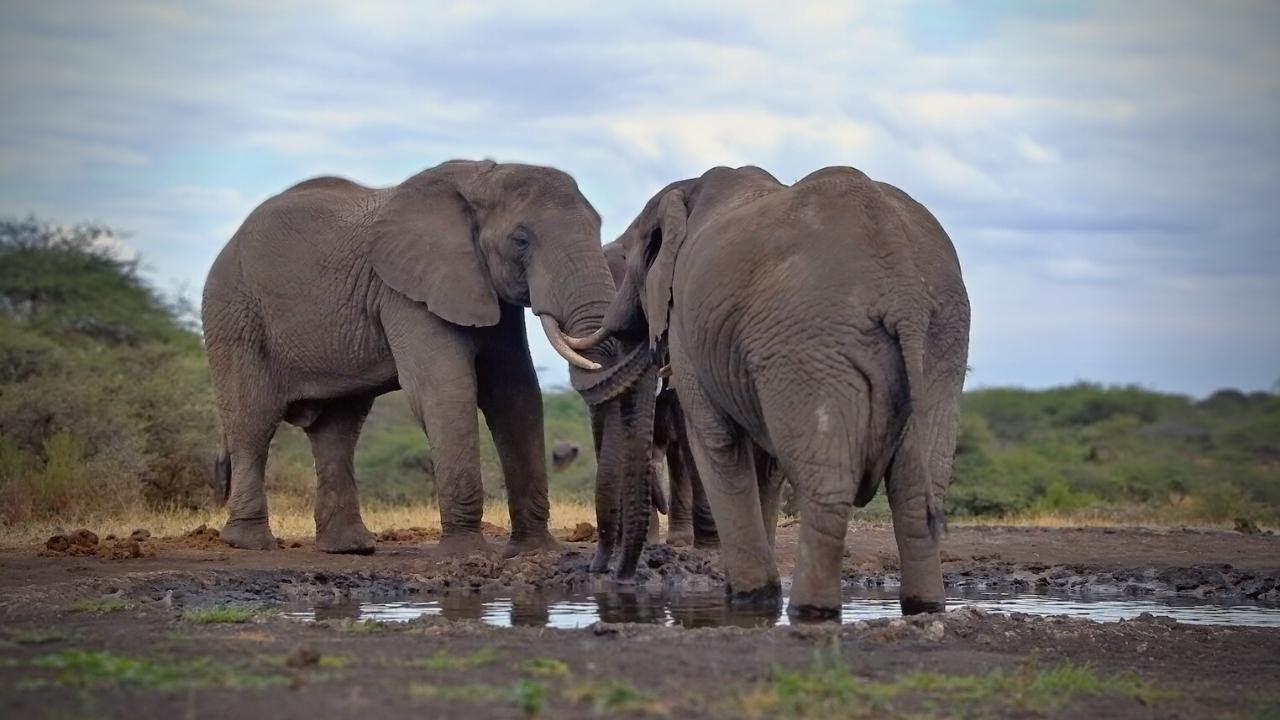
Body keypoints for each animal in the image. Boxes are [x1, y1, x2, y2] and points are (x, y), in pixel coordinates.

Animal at [202, 159, 651, 559]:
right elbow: (446, 392)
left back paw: (350, 548)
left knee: (338, 429)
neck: (483, 178)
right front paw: (466, 556)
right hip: (235, 312)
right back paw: (249, 543)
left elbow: (516, 394)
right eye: (520, 241)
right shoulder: (408, 292)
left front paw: (535, 552)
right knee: (253, 420)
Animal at [565, 165, 970, 617]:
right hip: (943, 340)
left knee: (827, 487)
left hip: (811, 339)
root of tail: (900, 284)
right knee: (917, 488)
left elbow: (717, 442)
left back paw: (810, 613)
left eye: (632, 264)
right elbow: (767, 463)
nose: (611, 577)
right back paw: (925, 608)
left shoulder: (691, 332)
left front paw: (749, 596)